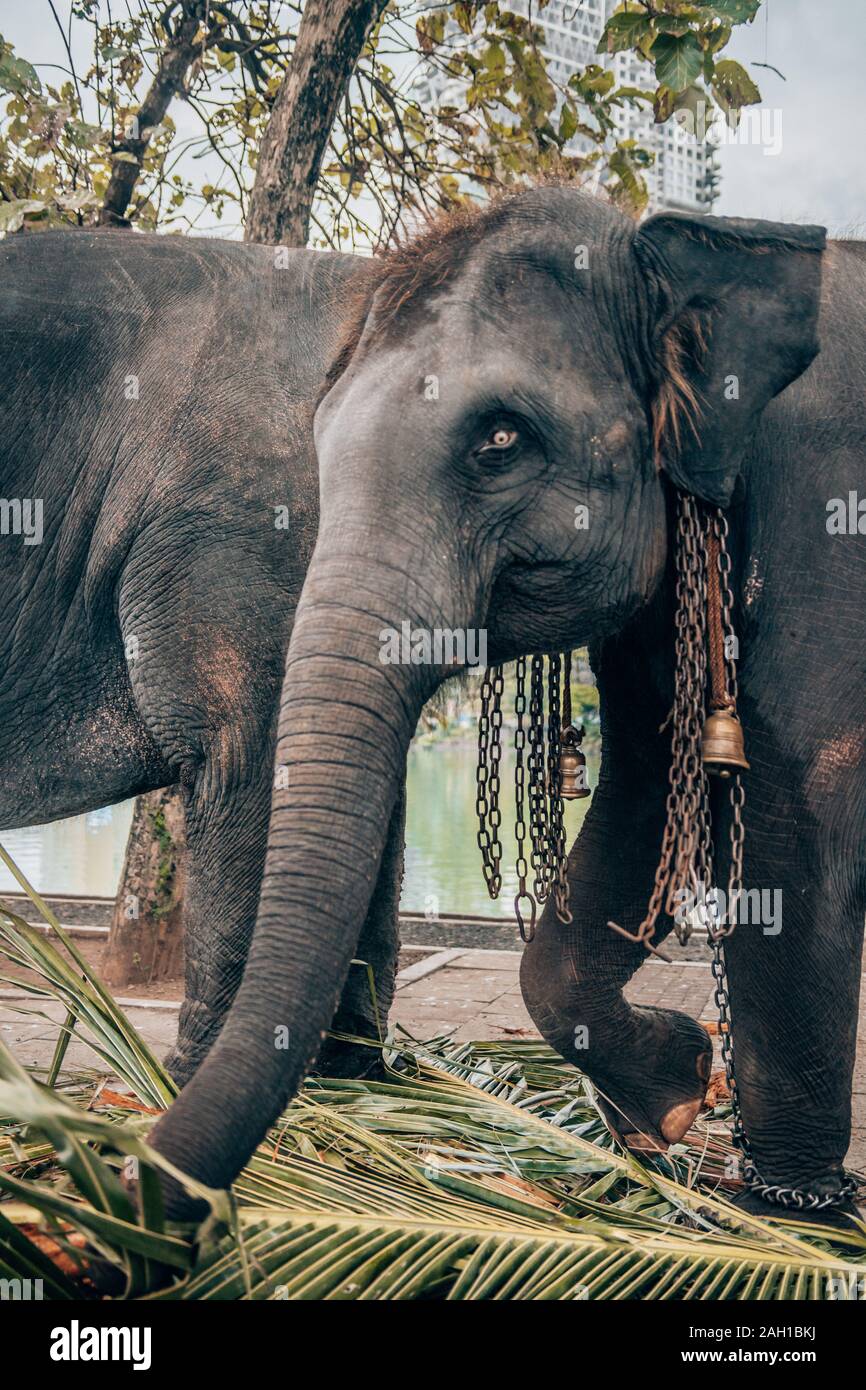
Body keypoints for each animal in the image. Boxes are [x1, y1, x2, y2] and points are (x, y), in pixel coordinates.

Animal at [1, 185, 863, 1227]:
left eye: (502, 441)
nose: (120, 1182)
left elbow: (788, 803)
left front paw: (789, 1209)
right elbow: (658, 778)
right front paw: (673, 1094)